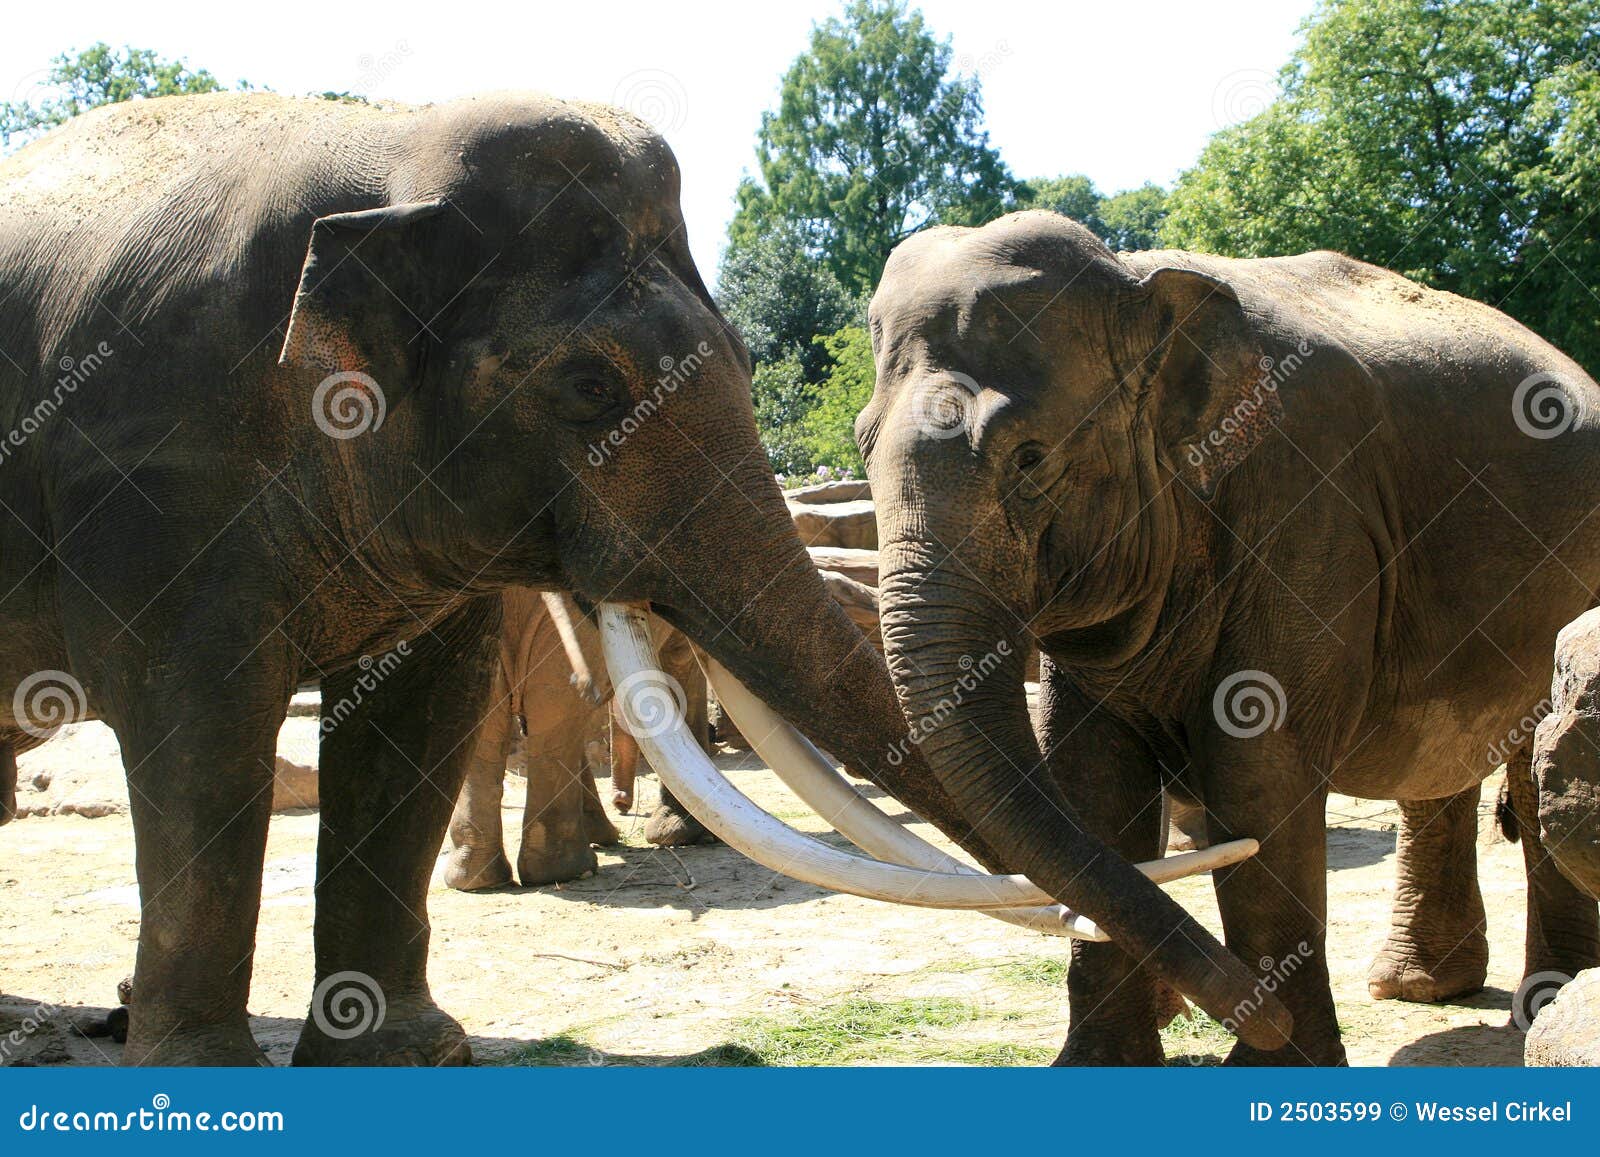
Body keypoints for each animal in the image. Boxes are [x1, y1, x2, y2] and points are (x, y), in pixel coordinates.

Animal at [861, 210, 1600, 1065]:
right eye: (860, 450)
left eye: (1030, 457)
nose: (1240, 1012)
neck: (1138, 277)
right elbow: (1089, 771)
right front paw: (1099, 1064)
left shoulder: (1309, 510)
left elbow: (1258, 762)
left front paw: (1281, 1058)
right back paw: (1418, 987)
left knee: (1539, 765)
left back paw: (1540, 1010)